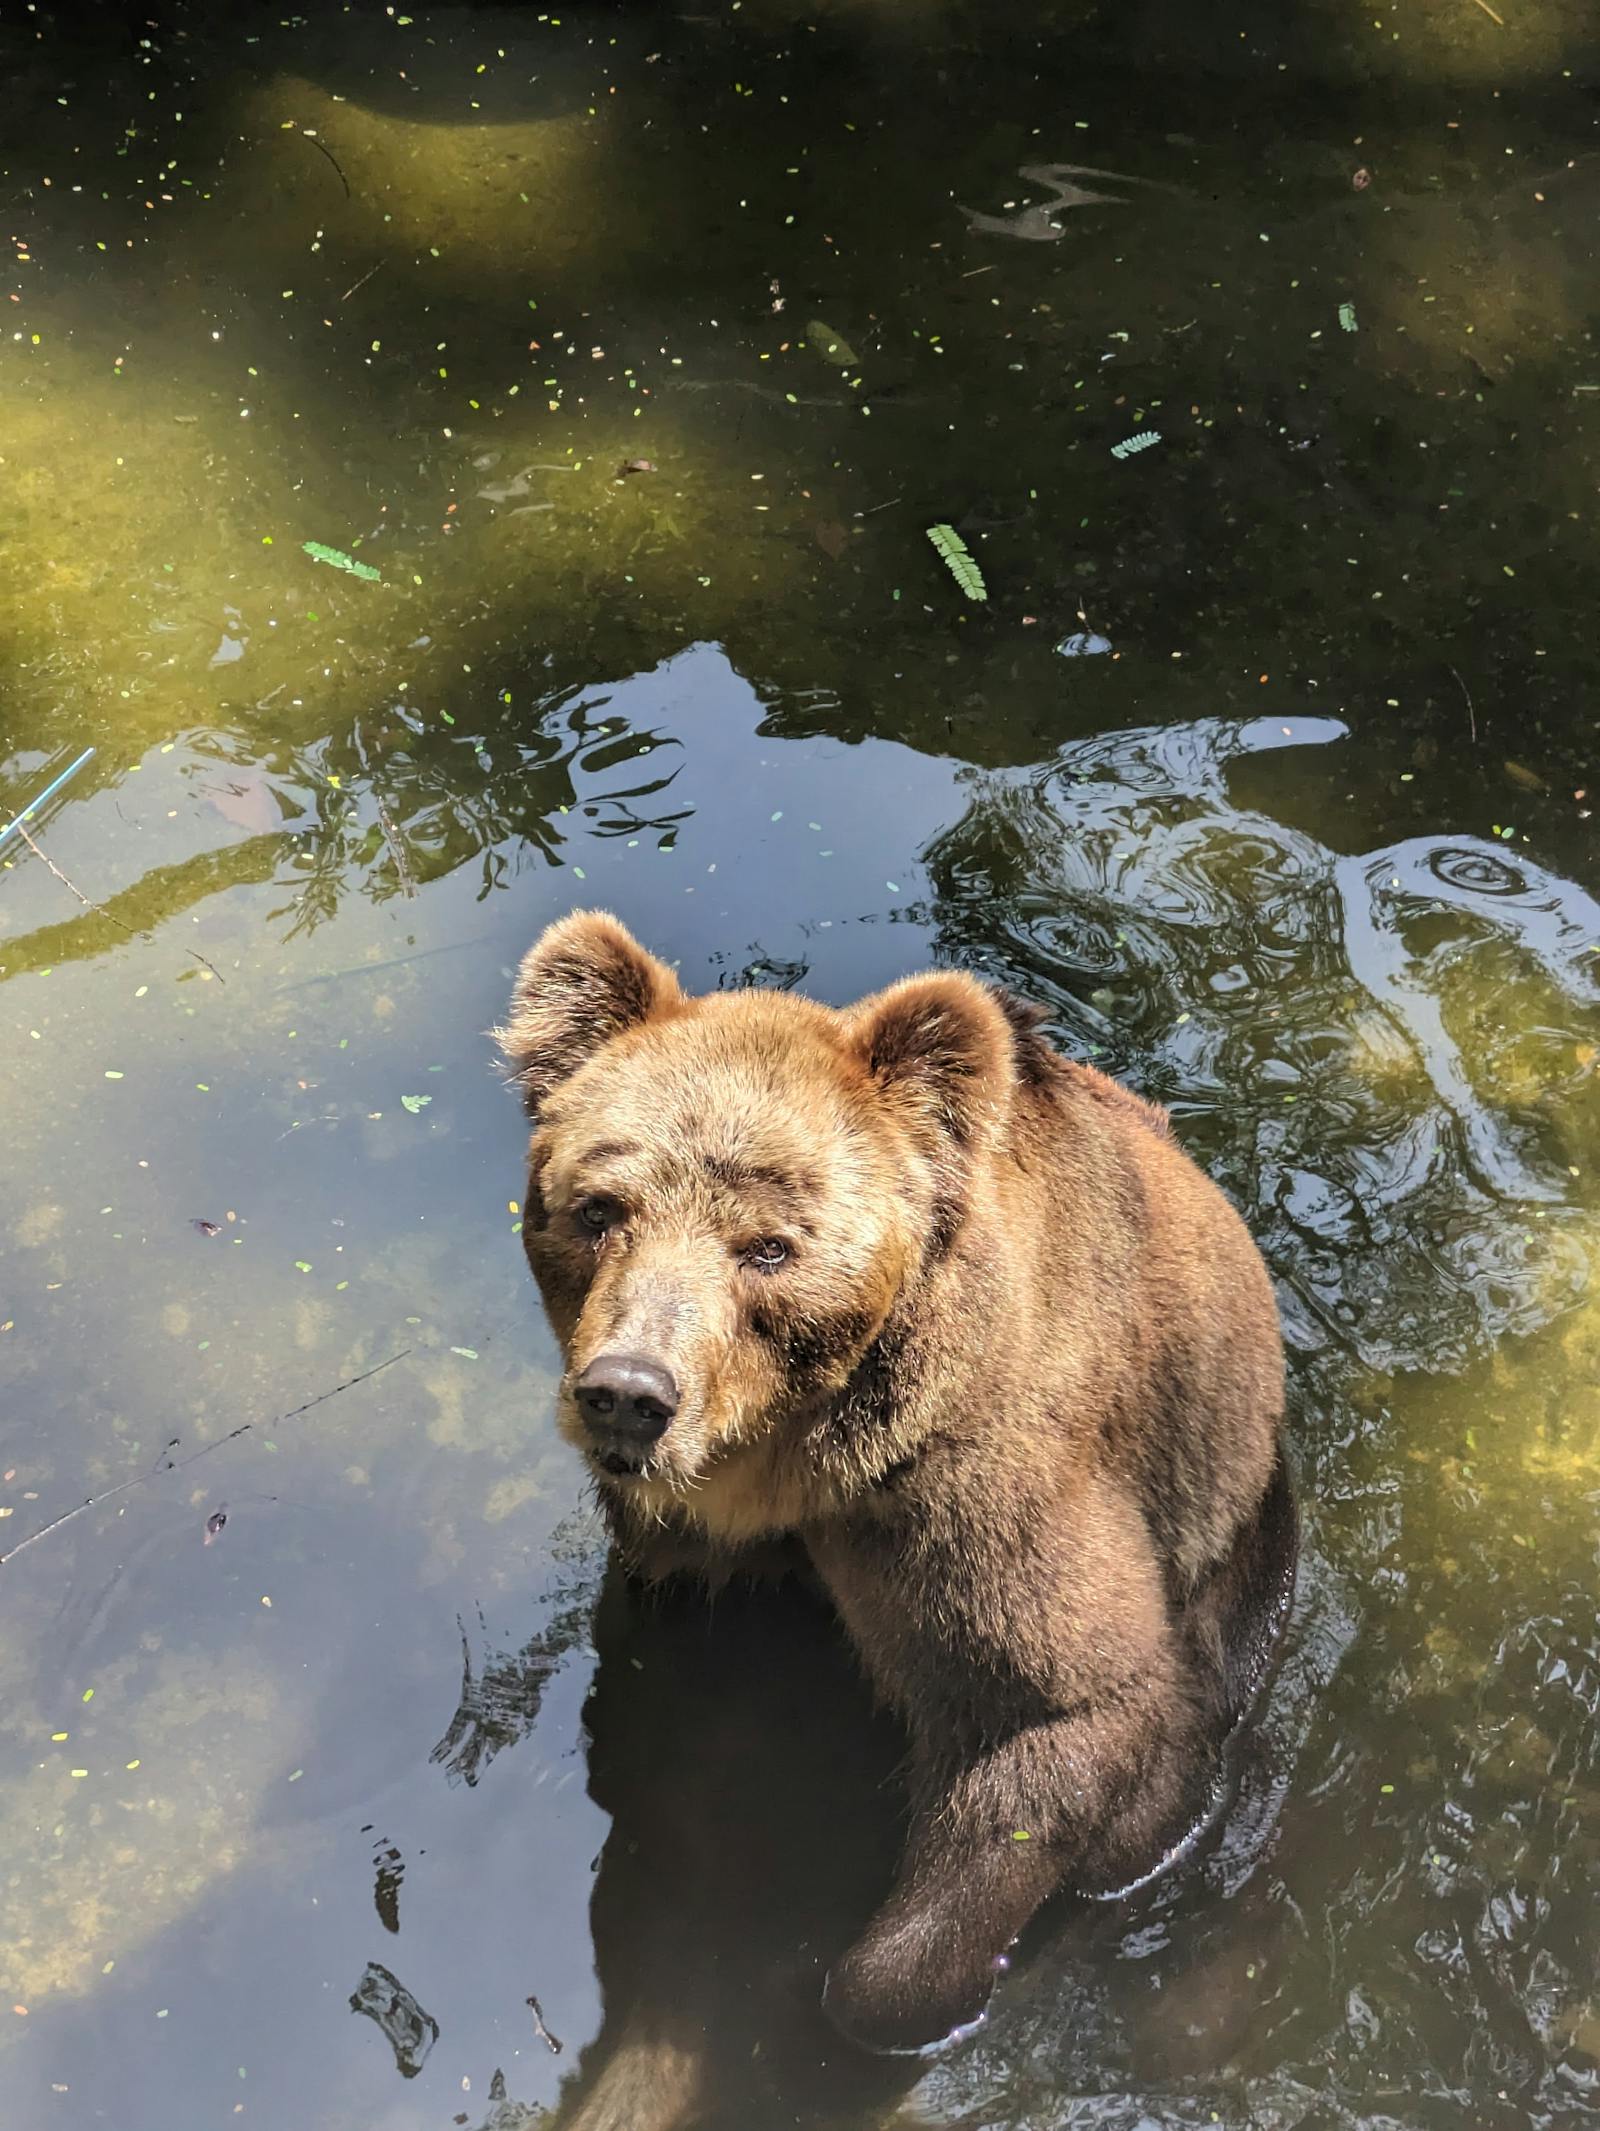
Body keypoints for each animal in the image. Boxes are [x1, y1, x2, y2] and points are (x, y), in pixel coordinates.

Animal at [497, 910, 1297, 2058]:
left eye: (769, 1248)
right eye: (600, 1207)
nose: (628, 1392)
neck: (789, 1463)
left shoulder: (965, 1494)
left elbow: (1062, 1710)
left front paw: (852, 1993)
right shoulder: (687, 1553)